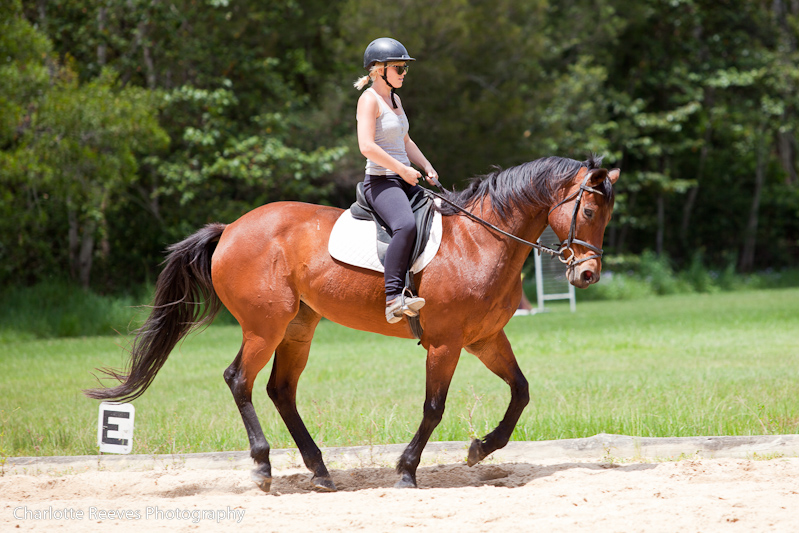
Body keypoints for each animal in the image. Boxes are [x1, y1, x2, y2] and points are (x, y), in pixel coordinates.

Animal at [86, 155, 619, 492]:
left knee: (281, 390)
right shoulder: (445, 344)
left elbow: (521, 392)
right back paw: (262, 465)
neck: (479, 240)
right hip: (265, 326)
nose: (587, 275)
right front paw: (406, 470)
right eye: (590, 209)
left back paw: (320, 470)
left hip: (298, 328)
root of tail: (232, 228)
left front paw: (479, 449)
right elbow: (433, 408)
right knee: (240, 379)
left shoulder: (485, 338)